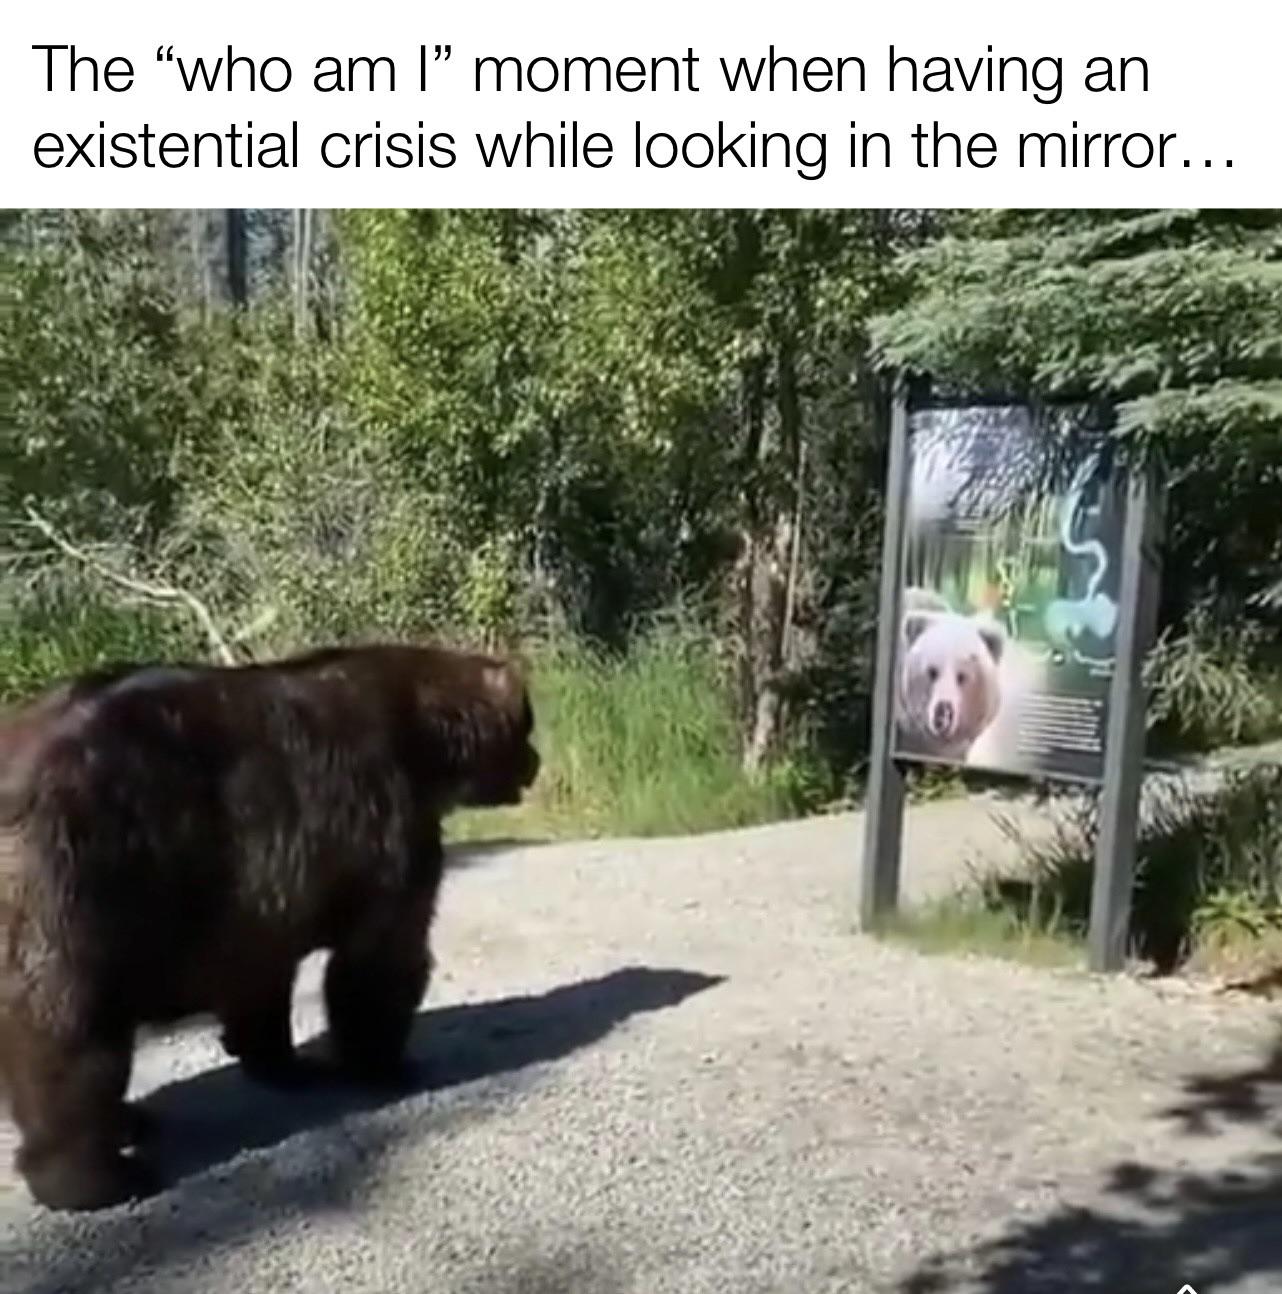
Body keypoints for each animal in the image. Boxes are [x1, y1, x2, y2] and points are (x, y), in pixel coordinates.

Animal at [0, 641, 539, 1212]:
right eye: (527, 722)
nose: (536, 762)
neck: (422, 735)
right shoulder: (382, 820)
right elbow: (379, 961)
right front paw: (386, 1064)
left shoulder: (258, 890)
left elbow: (260, 979)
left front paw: (284, 1062)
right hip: (74, 879)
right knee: (68, 1035)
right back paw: (99, 1178)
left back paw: (129, 1122)